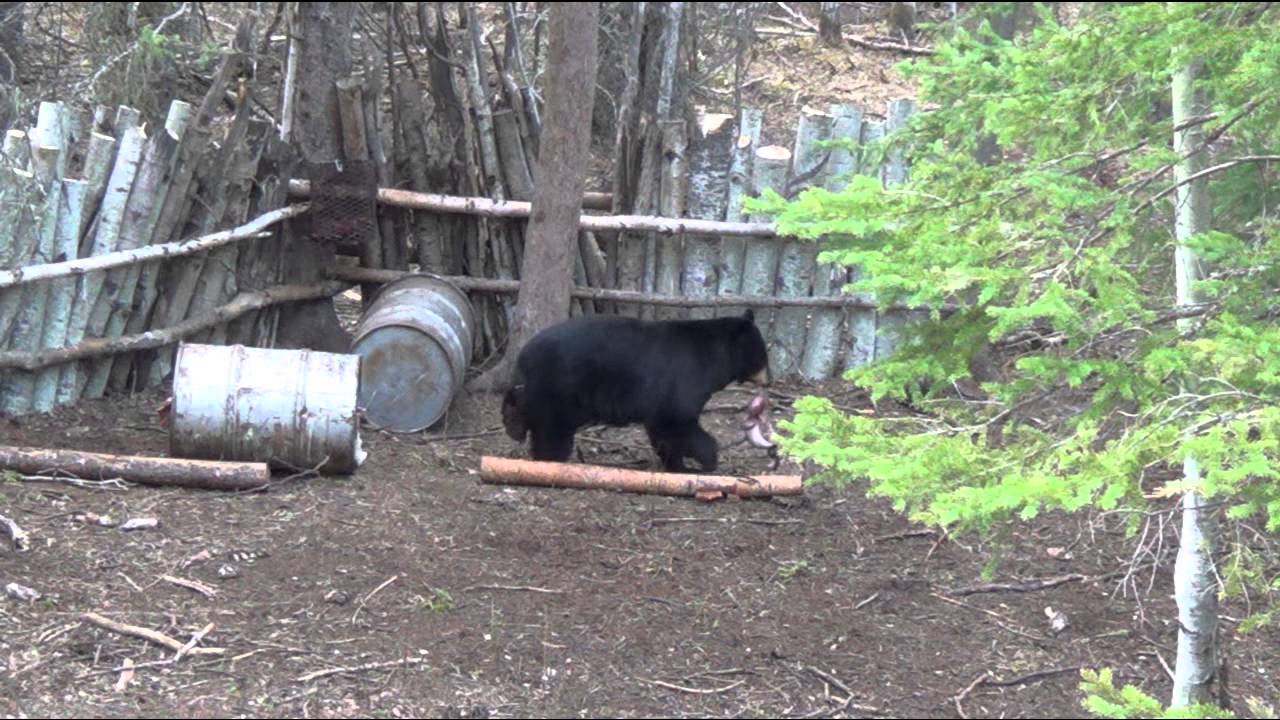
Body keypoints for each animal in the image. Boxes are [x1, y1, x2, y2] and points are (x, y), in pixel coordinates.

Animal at [501, 309, 770, 473]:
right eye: (764, 355)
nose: (769, 380)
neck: (715, 357)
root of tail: (525, 351)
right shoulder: (683, 380)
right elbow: (678, 420)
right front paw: (706, 459)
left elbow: (663, 430)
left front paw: (676, 463)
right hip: (561, 384)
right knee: (551, 426)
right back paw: (546, 454)